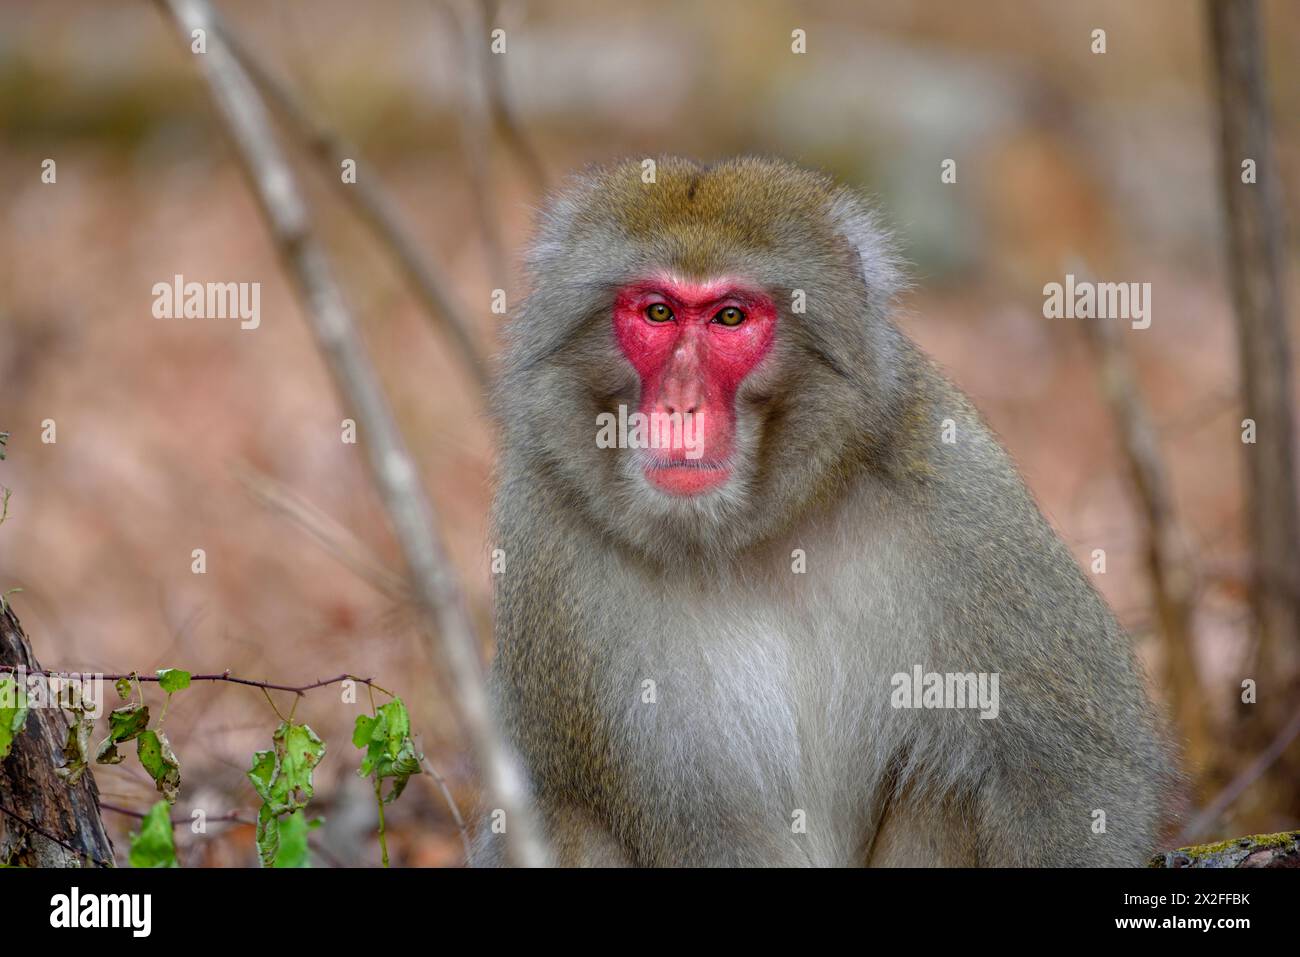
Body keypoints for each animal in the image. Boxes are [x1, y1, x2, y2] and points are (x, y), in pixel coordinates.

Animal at [476, 156, 1179, 867]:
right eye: (658, 311)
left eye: (730, 317)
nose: (680, 406)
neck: (748, 536)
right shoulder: (546, 536)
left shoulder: (954, 486)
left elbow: (1068, 772)